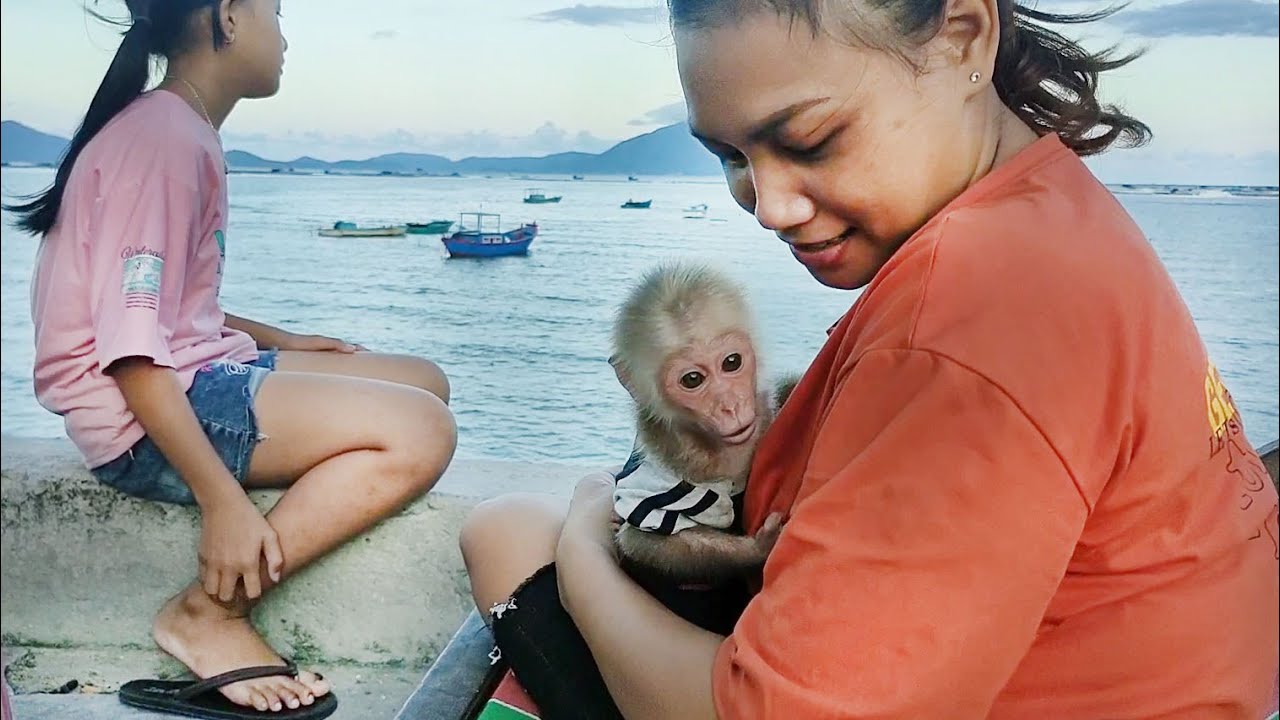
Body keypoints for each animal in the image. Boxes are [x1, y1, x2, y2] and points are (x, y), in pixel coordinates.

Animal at [608, 262, 800, 585]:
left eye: (732, 362)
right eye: (693, 379)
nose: (730, 406)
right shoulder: (657, 480)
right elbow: (640, 538)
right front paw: (759, 548)